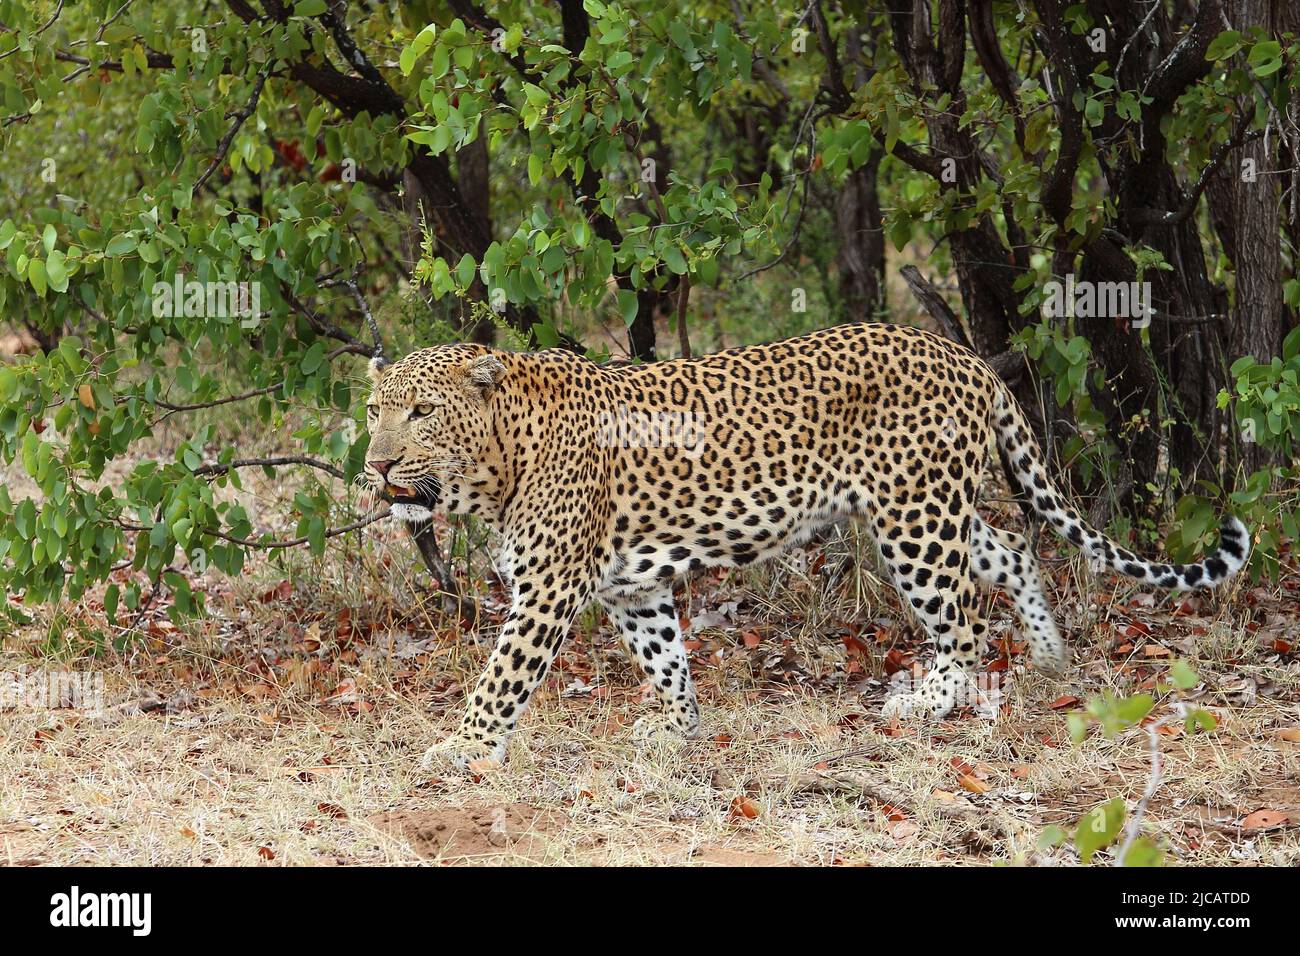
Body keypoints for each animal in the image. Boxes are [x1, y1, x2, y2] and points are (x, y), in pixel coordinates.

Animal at [362, 322, 1250, 769]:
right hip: (933, 508)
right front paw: (678, 726)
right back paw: (1052, 659)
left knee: (964, 617)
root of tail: (965, 356)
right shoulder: (631, 585)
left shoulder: (549, 588)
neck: (500, 459)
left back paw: (932, 700)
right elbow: (664, 655)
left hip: (914, 520)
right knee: (1012, 552)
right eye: (374, 409)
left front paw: (463, 747)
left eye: (421, 413)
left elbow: (502, 678)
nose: (375, 465)